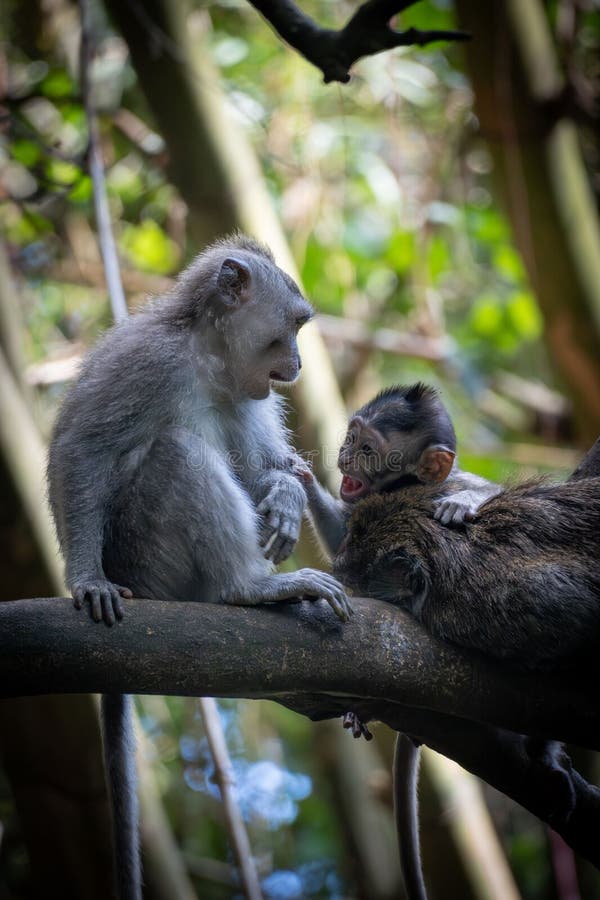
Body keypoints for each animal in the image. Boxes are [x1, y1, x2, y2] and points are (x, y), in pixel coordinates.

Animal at [46, 234, 352, 900]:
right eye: (293, 327)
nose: (297, 364)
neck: (209, 359)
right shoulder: (145, 361)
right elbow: (81, 449)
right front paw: (84, 579)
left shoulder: (250, 396)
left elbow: (261, 464)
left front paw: (285, 494)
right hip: (151, 564)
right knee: (178, 453)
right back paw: (249, 589)